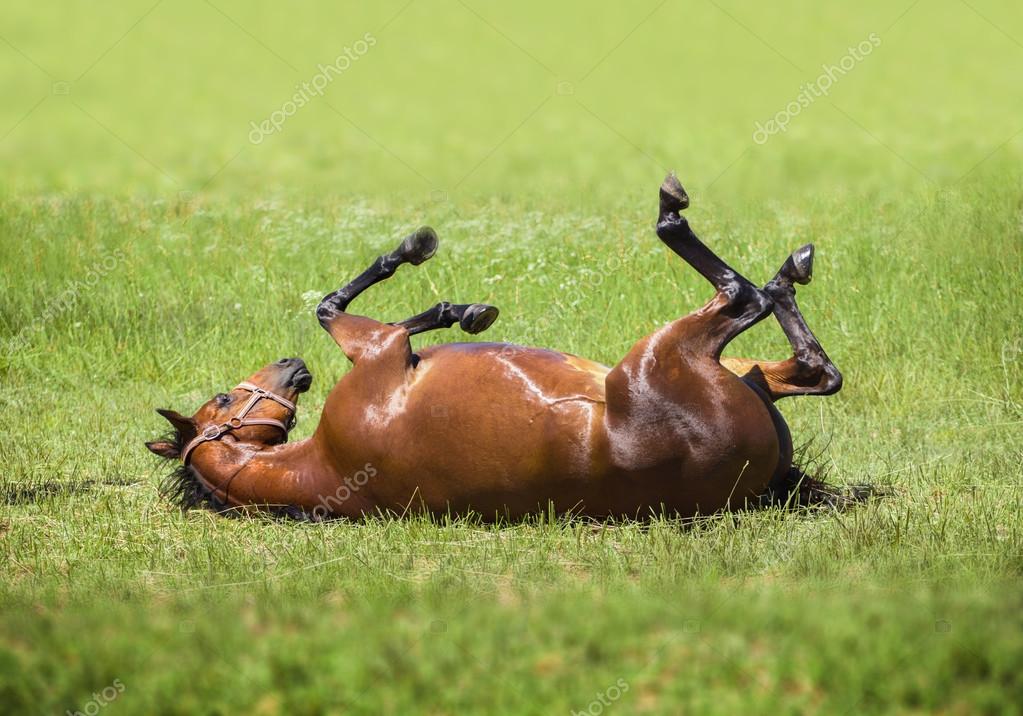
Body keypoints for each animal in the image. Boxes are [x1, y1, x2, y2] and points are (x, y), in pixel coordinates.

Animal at [146, 174, 843, 521]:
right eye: (223, 397)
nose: (292, 367)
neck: (322, 470)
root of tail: (764, 480)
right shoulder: (380, 349)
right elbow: (332, 307)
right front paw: (431, 272)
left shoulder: (381, 348)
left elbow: (349, 307)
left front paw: (457, 307)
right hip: (665, 350)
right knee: (746, 300)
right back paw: (724, 237)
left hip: (746, 371)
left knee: (814, 367)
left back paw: (789, 271)